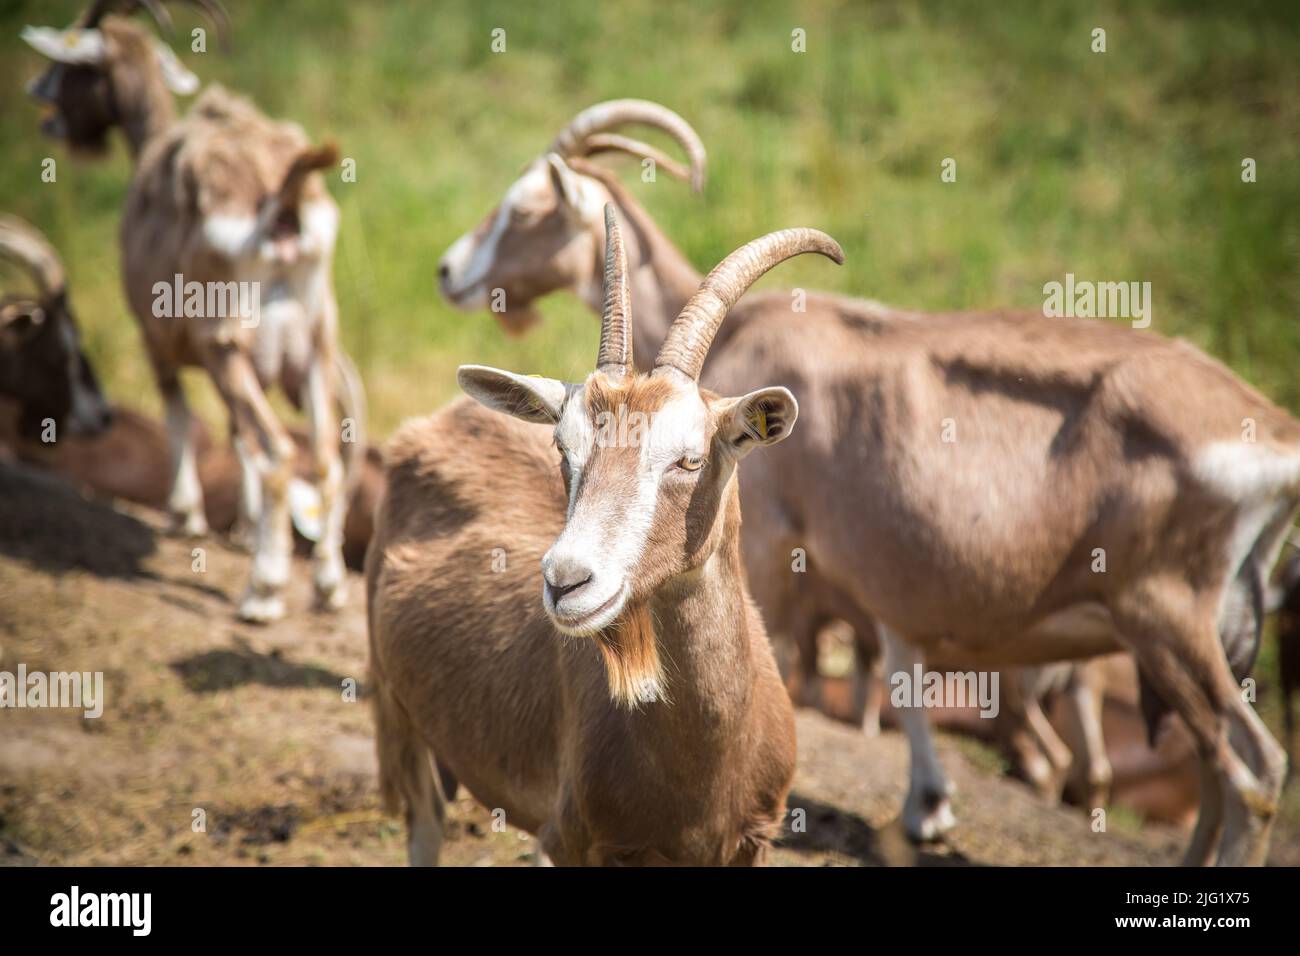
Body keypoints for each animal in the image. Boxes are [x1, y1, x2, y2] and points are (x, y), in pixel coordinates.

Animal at [23, 0, 364, 622]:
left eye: (73, 62)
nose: (39, 96)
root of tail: (281, 197)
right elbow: (234, 436)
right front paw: (248, 529)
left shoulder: (153, 332)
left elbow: (178, 411)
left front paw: (185, 516)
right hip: (314, 341)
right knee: (324, 456)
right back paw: (326, 586)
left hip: (225, 340)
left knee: (278, 451)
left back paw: (263, 592)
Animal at [368, 207, 840, 865]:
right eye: (563, 449)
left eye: (691, 459)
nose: (567, 582)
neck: (706, 766)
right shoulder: (576, 840)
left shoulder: (753, 840)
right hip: (398, 710)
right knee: (426, 819)